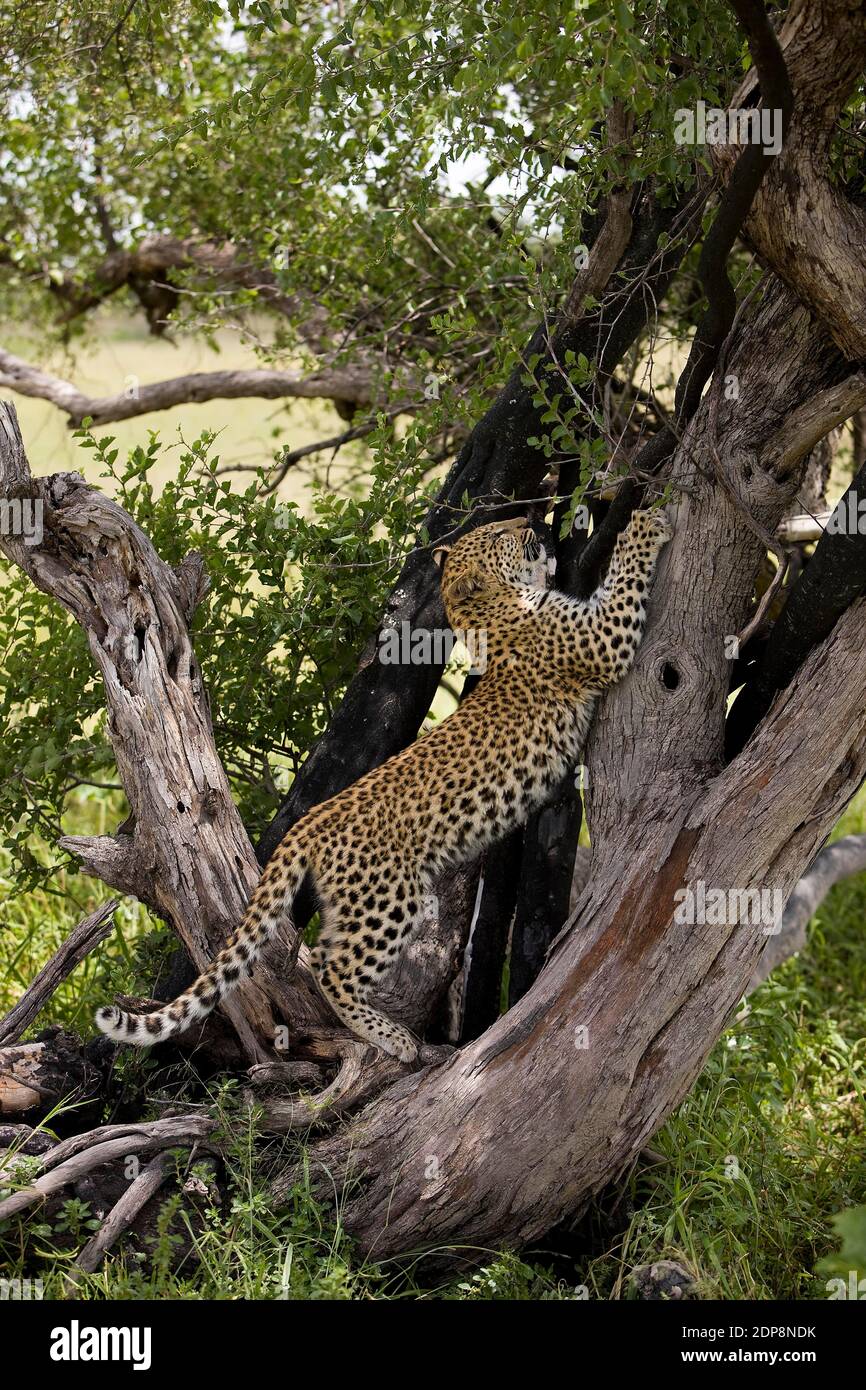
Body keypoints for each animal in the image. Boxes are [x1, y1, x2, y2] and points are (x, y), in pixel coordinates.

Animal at [96, 507, 672, 1062]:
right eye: (499, 534)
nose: (532, 521)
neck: (491, 615)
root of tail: (313, 819)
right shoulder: (603, 638)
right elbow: (623, 581)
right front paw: (646, 522)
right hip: (387, 899)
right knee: (334, 968)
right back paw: (394, 1037)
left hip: (356, 903)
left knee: (322, 955)